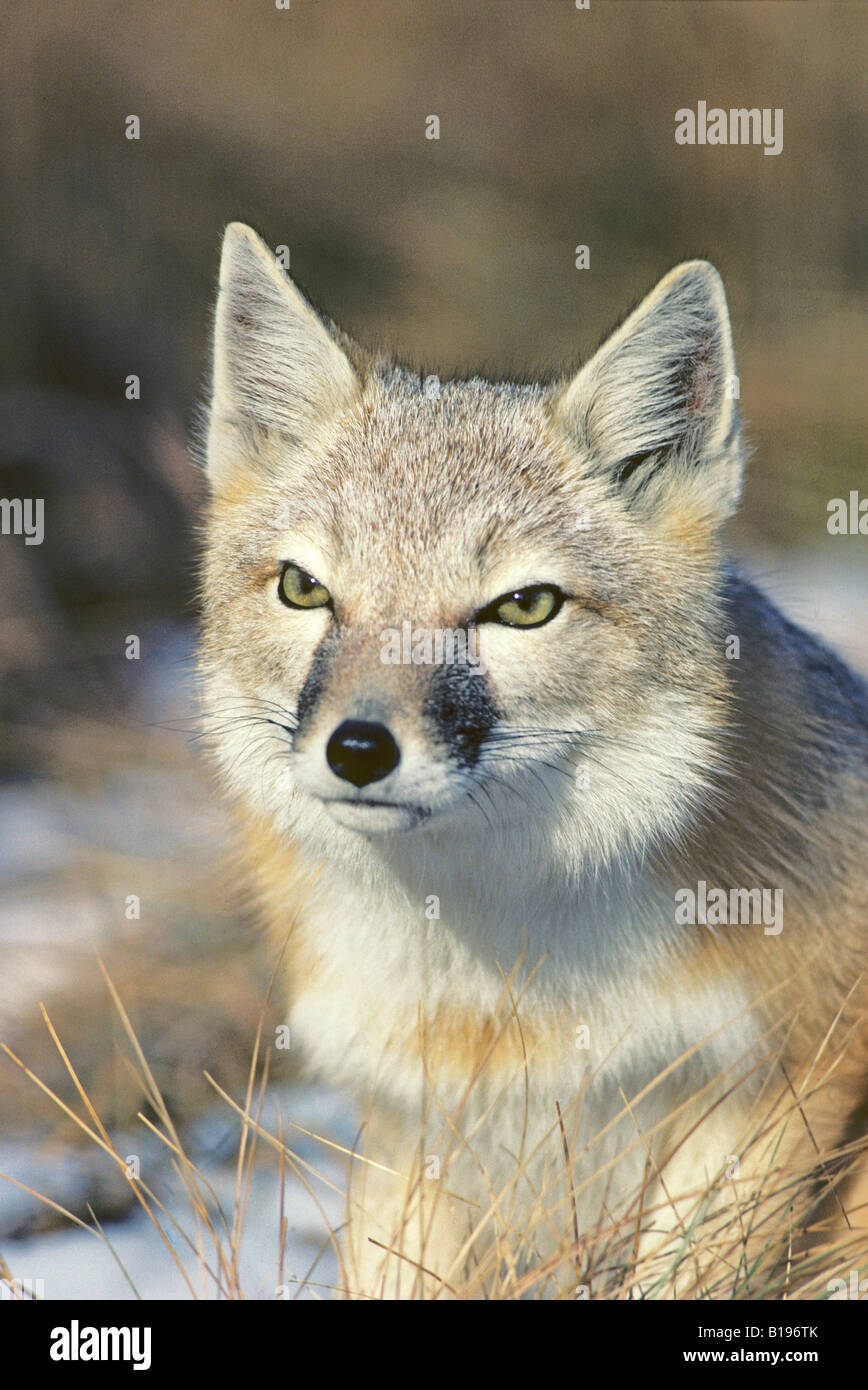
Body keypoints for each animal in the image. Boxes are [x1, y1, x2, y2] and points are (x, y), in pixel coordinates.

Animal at [199, 222, 868, 1299]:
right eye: (306, 591)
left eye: (523, 606)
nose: (357, 748)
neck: (500, 990)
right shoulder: (409, 1123)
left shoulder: (785, 1075)